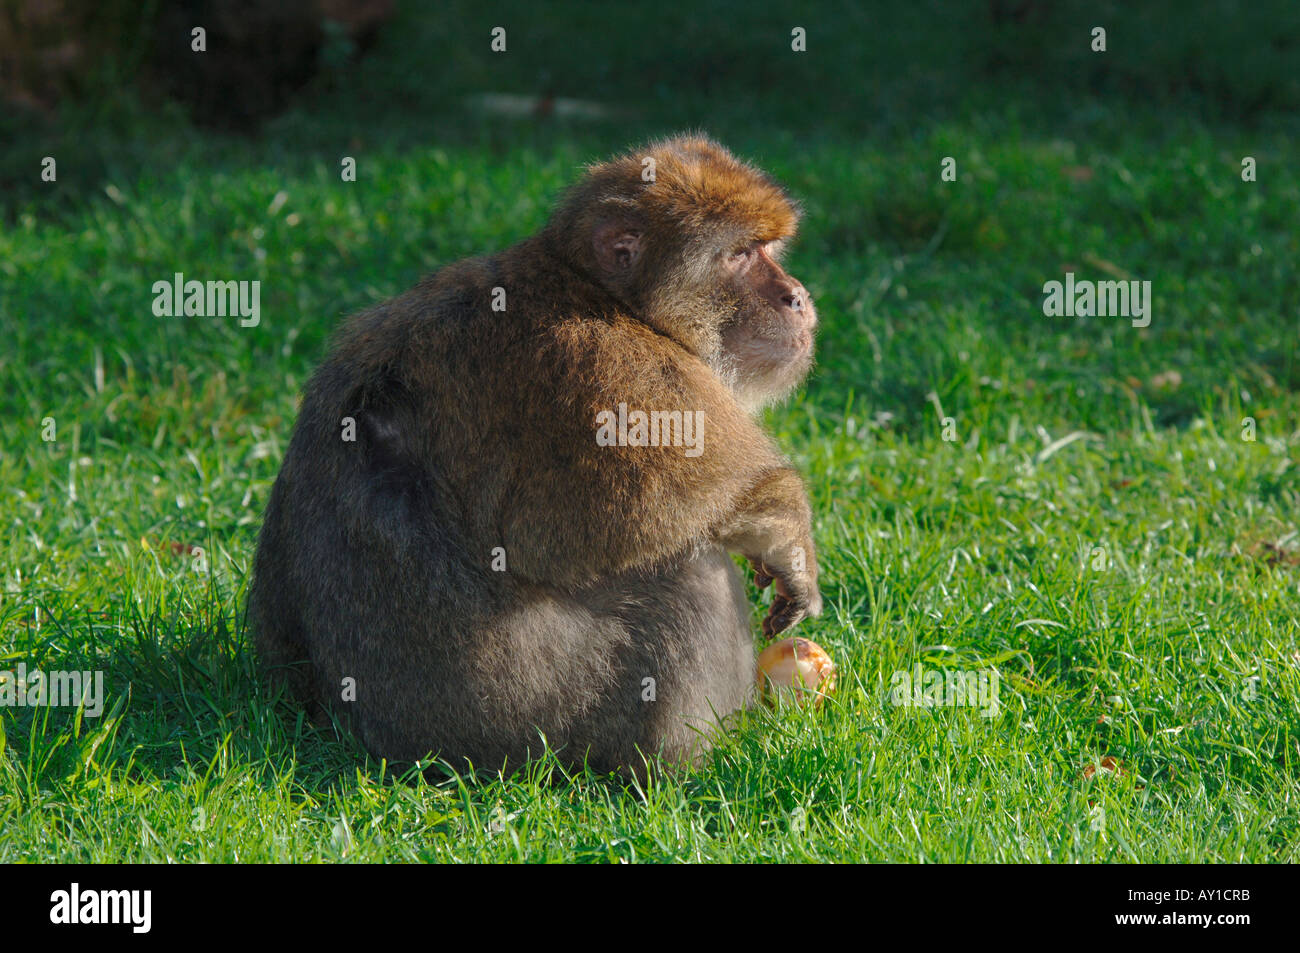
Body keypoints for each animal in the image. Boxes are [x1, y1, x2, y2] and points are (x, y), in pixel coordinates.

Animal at [248, 134, 823, 776]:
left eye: (769, 248)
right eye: (741, 254)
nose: (796, 297)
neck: (597, 292)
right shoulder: (611, 369)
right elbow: (660, 509)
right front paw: (787, 538)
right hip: (527, 718)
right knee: (693, 573)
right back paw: (691, 760)